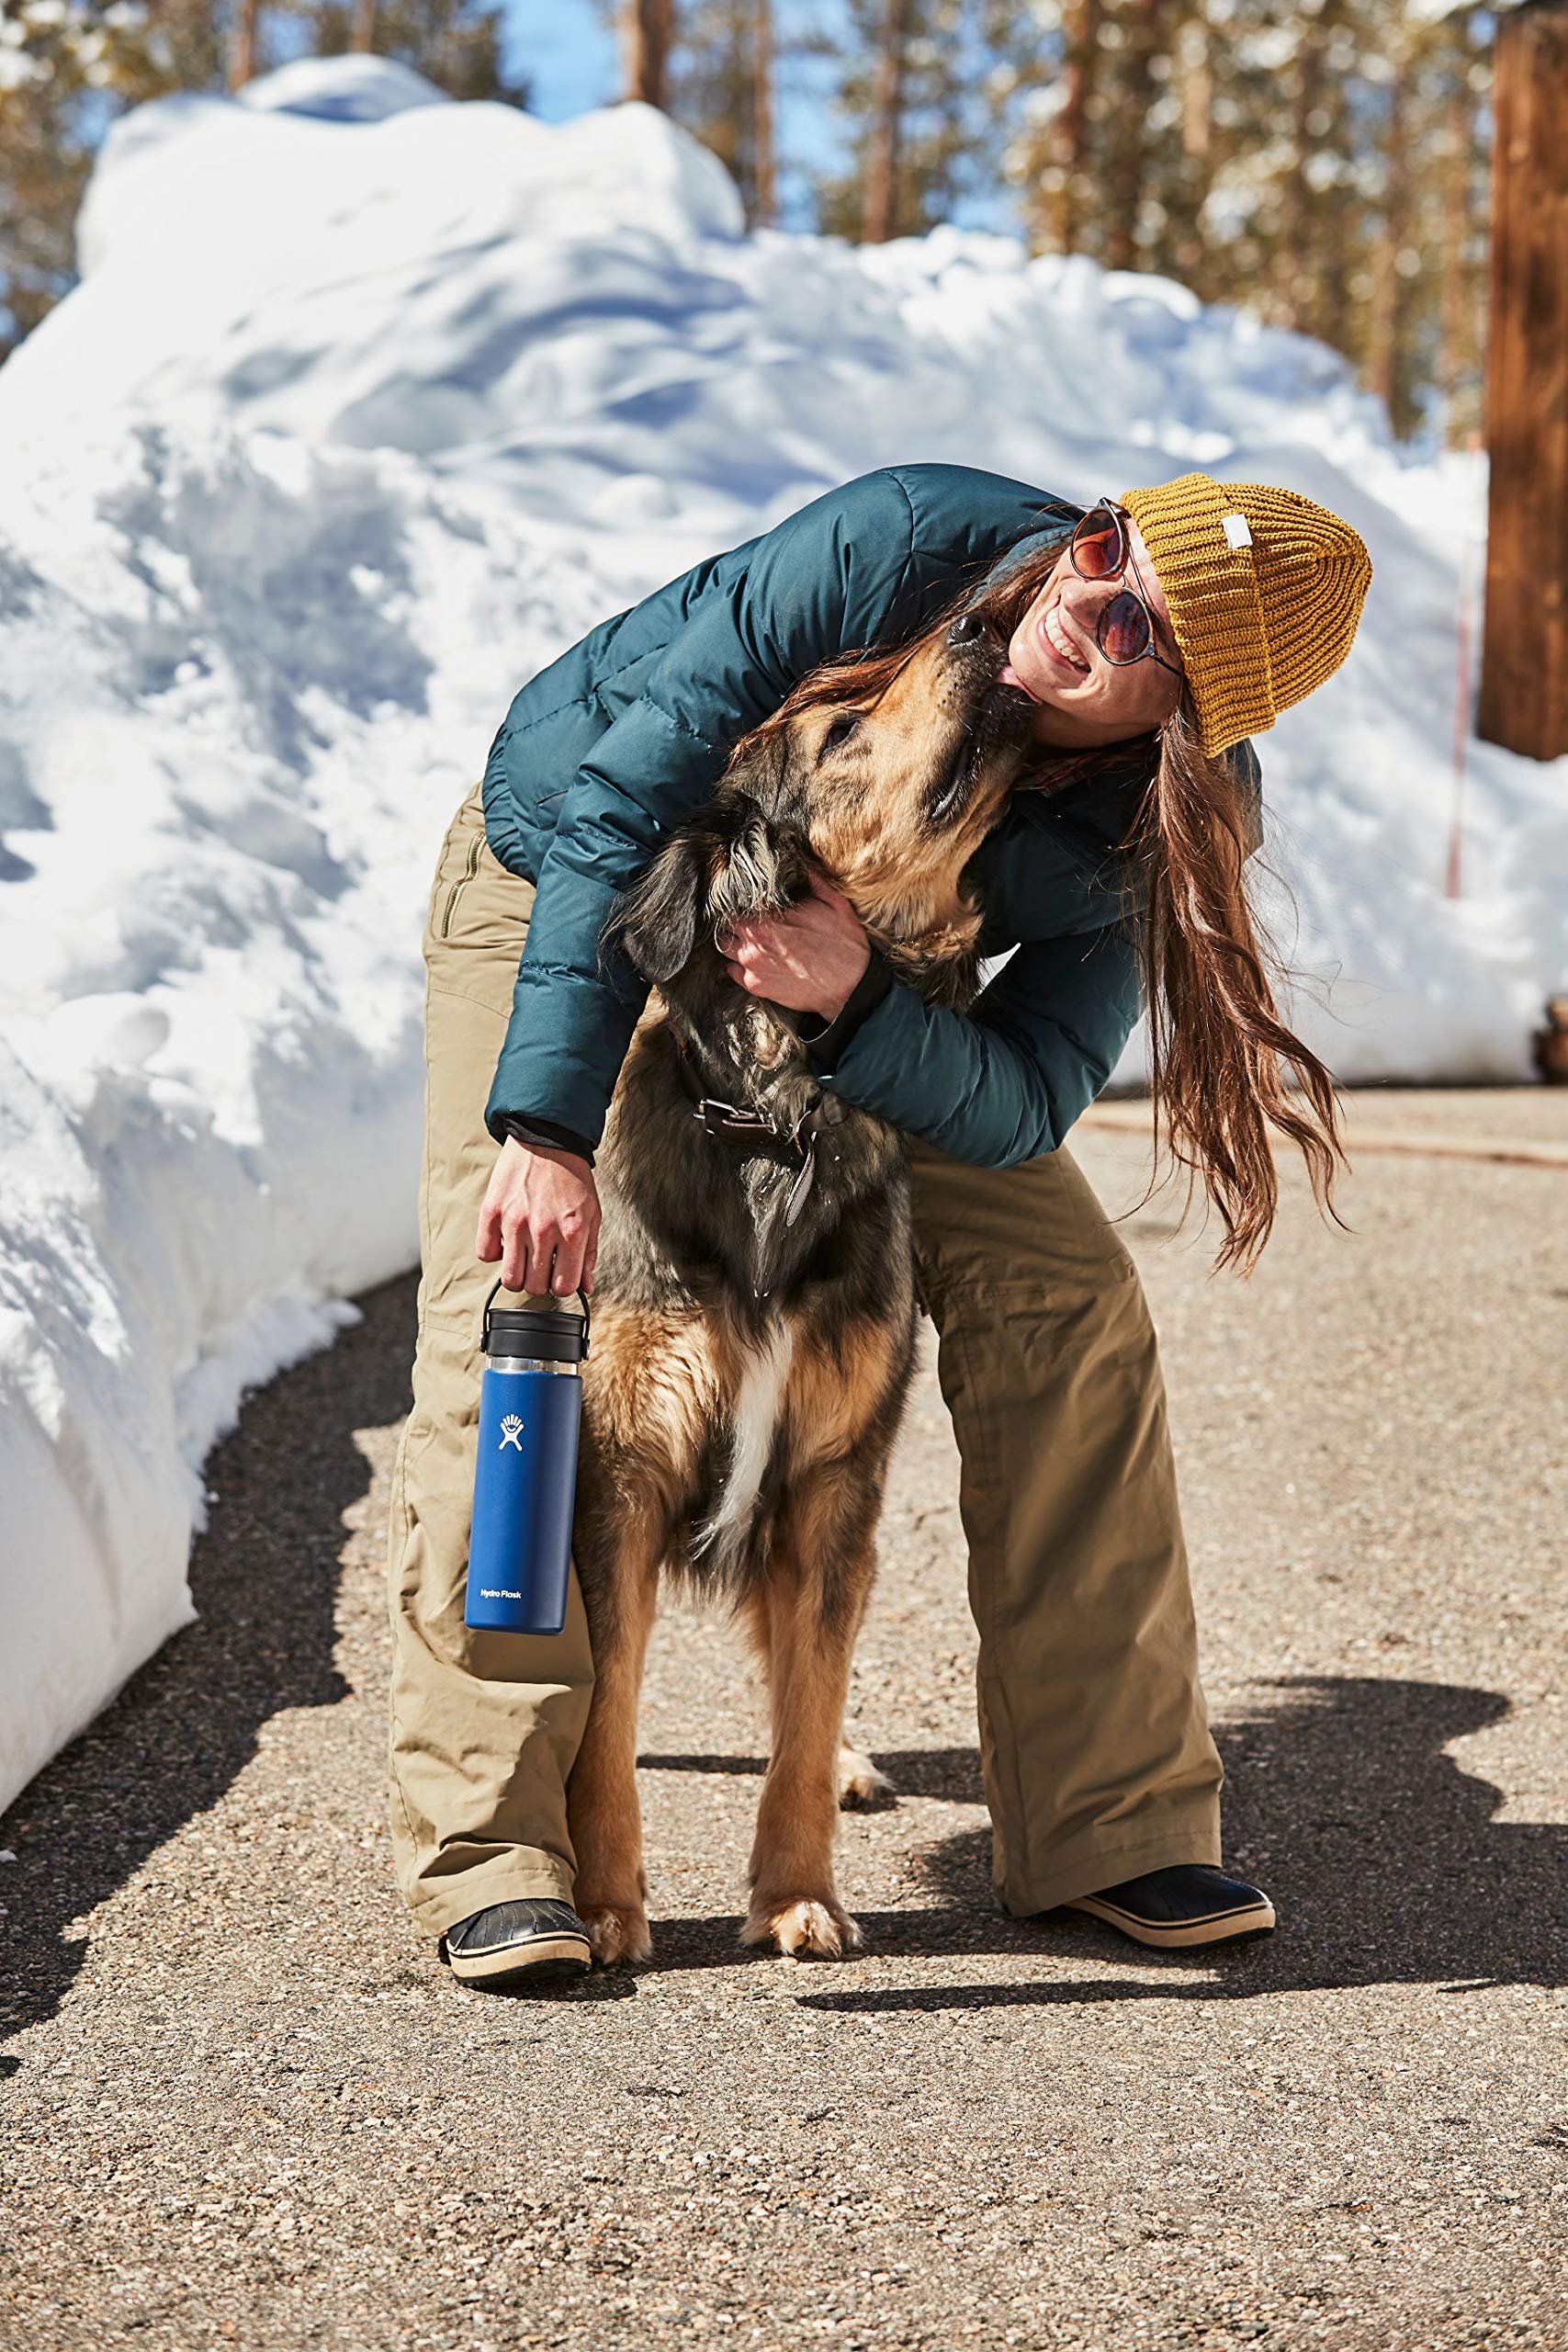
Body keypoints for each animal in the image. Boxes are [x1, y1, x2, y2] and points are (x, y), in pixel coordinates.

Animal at [564, 611, 1043, 1966]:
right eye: (836, 730)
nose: (979, 623)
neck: (780, 1121)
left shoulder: (835, 1474)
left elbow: (806, 1694)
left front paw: (794, 1892)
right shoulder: (618, 1465)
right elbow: (604, 1713)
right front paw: (604, 1905)